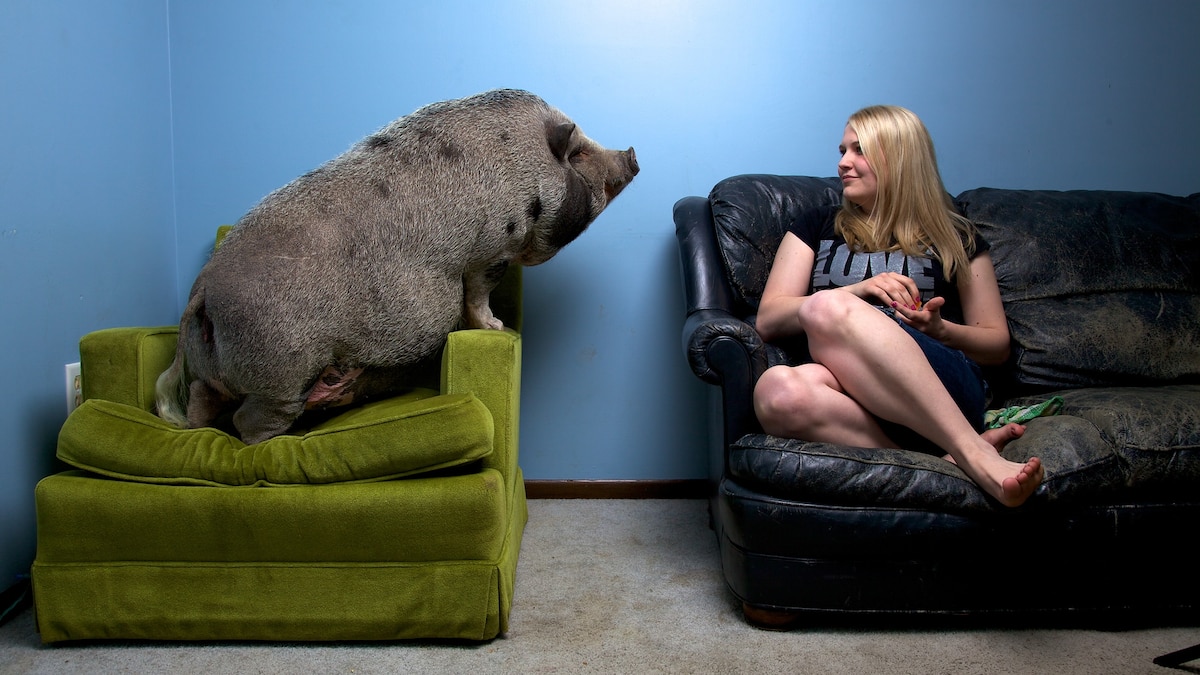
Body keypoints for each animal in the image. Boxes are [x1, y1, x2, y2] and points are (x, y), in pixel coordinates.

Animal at [155, 89, 639, 443]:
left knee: (200, 401)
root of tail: (203, 289)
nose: (632, 153)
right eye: (578, 154)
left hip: (218, 374)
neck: (529, 166)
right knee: (248, 424)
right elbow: (478, 292)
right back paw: (279, 443)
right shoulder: (495, 245)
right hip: (280, 375)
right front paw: (497, 327)